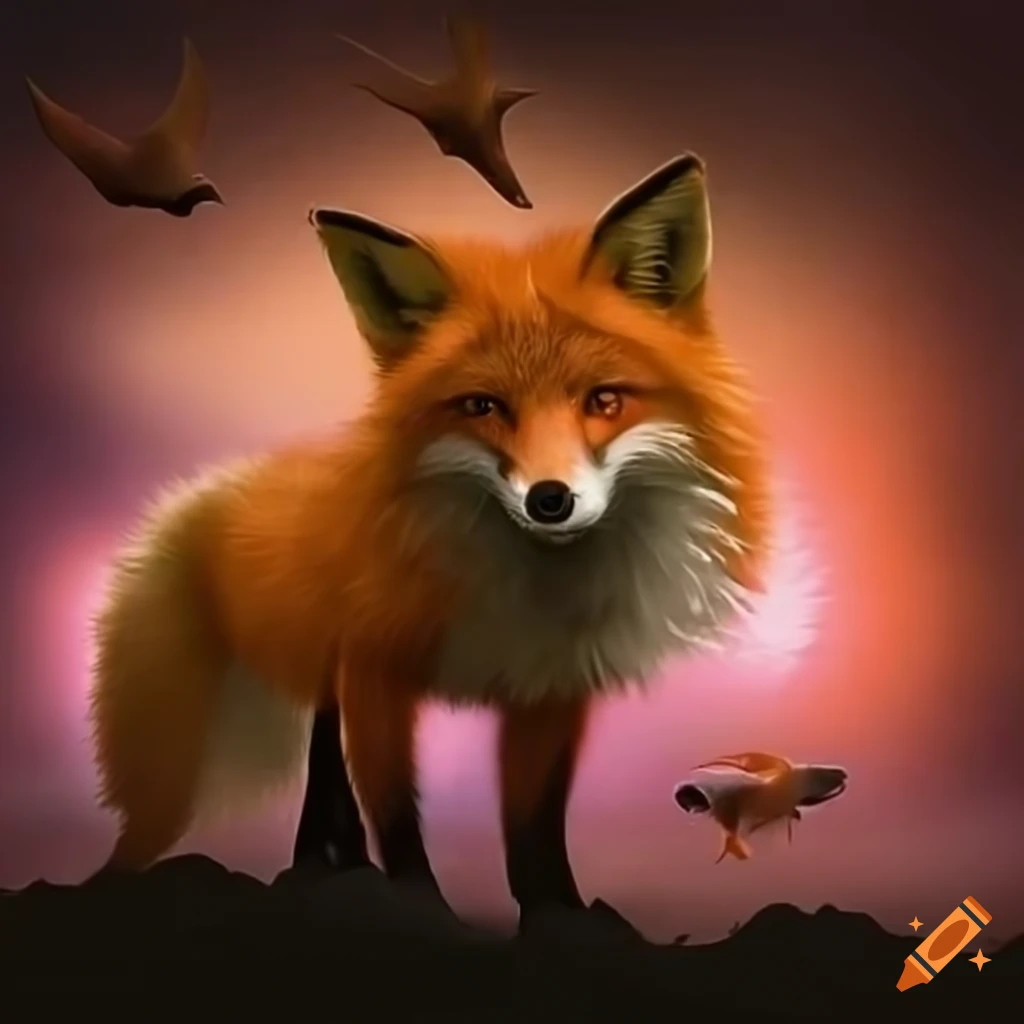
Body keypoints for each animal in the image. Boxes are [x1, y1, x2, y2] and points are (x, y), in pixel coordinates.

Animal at [88, 153, 771, 923]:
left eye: (604, 400)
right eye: (482, 406)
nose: (550, 500)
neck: (518, 595)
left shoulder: (548, 694)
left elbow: (534, 835)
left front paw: (558, 920)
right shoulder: (373, 675)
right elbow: (398, 820)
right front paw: (423, 910)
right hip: (178, 770)